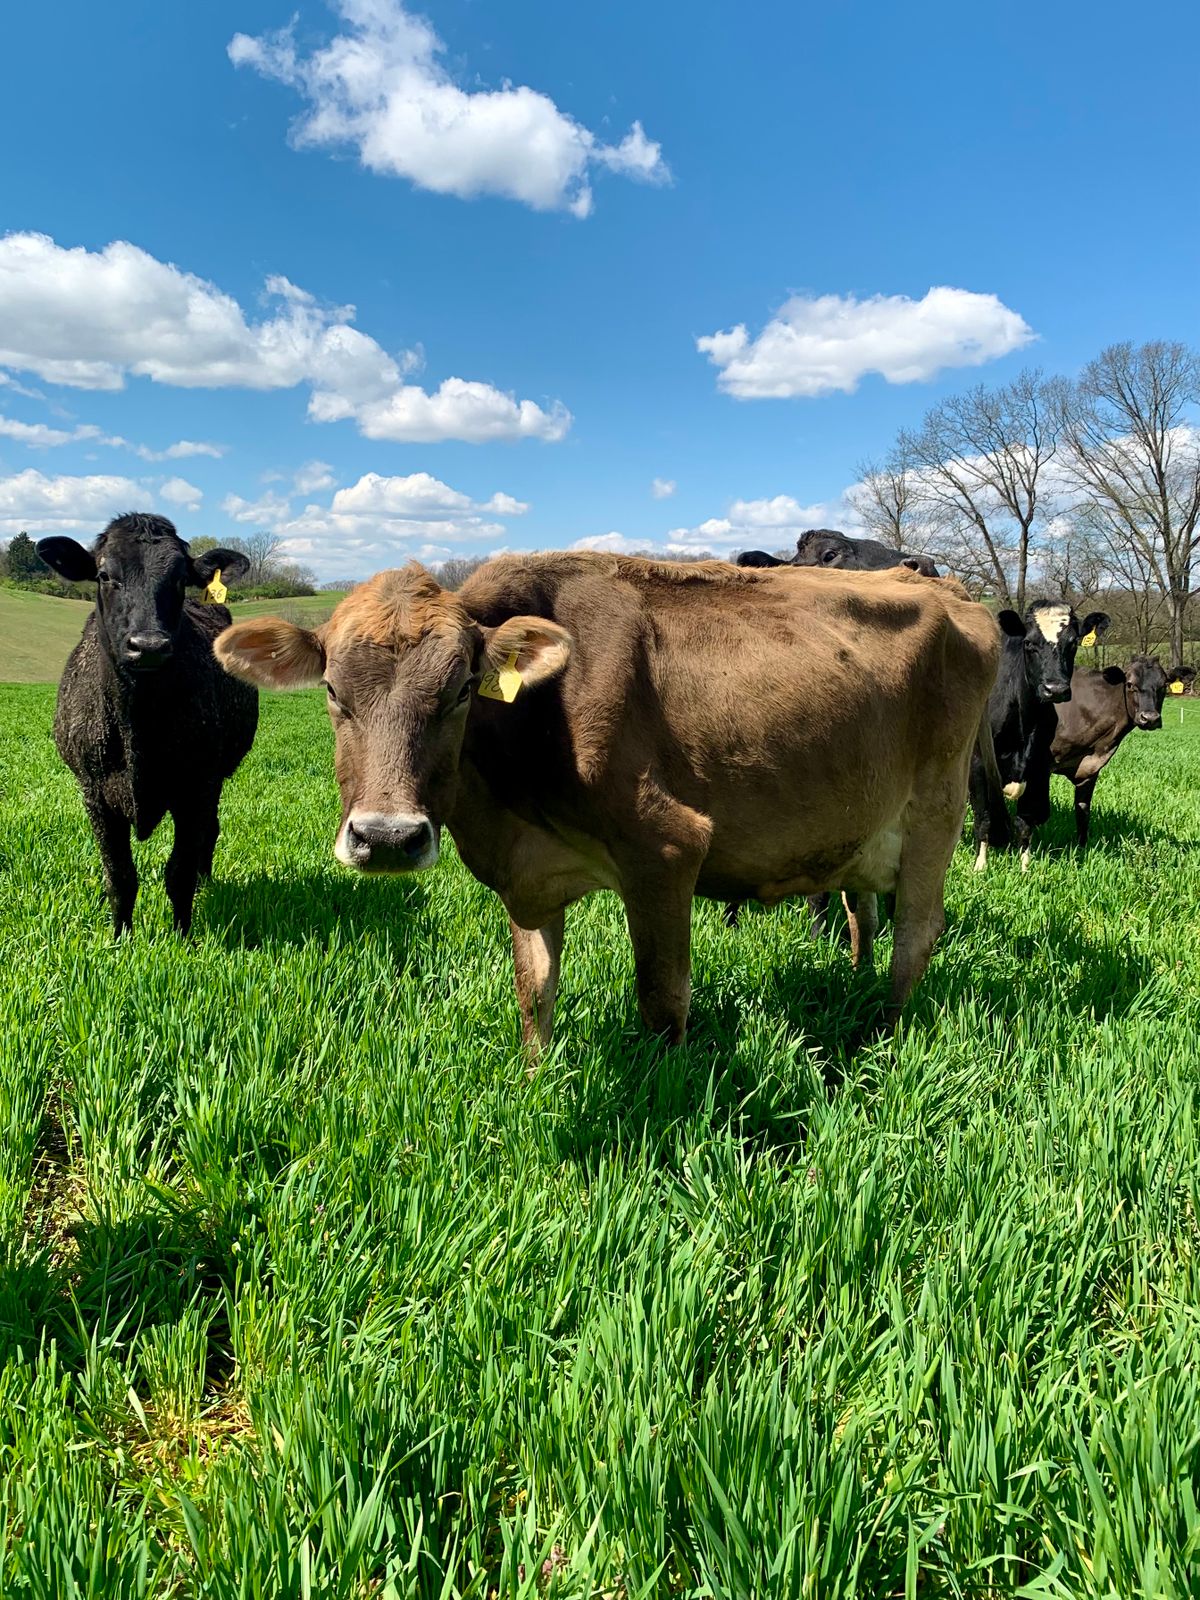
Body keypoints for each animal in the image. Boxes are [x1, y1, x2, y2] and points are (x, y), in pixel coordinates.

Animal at [36, 514, 258, 936]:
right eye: (104, 575)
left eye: (179, 578)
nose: (149, 646)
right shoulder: (93, 790)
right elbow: (120, 876)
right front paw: (119, 937)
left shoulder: (197, 785)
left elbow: (179, 872)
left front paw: (183, 937)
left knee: (209, 833)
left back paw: (206, 882)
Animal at [216, 554, 1000, 1056]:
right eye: (331, 689)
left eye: (463, 689)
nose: (385, 838)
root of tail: (951, 590)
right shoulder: (529, 876)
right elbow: (534, 991)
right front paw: (533, 1082)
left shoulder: (667, 849)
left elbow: (661, 997)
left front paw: (667, 1096)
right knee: (863, 913)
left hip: (937, 809)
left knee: (915, 933)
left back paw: (884, 1037)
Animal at [969, 600, 1110, 872]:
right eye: (1029, 643)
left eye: (1073, 643)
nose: (1055, 689)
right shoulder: (978, 762)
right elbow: (984, 817)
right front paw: (980, 866)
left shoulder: (1037, 764)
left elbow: (1026, 820)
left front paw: (1025, 867)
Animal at [1050, 656, 1188, 849]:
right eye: (1130, 684)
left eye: (1164, 684)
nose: (1150, 718)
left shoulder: (1090, 768)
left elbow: (1083, 811)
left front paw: (1081, 849)